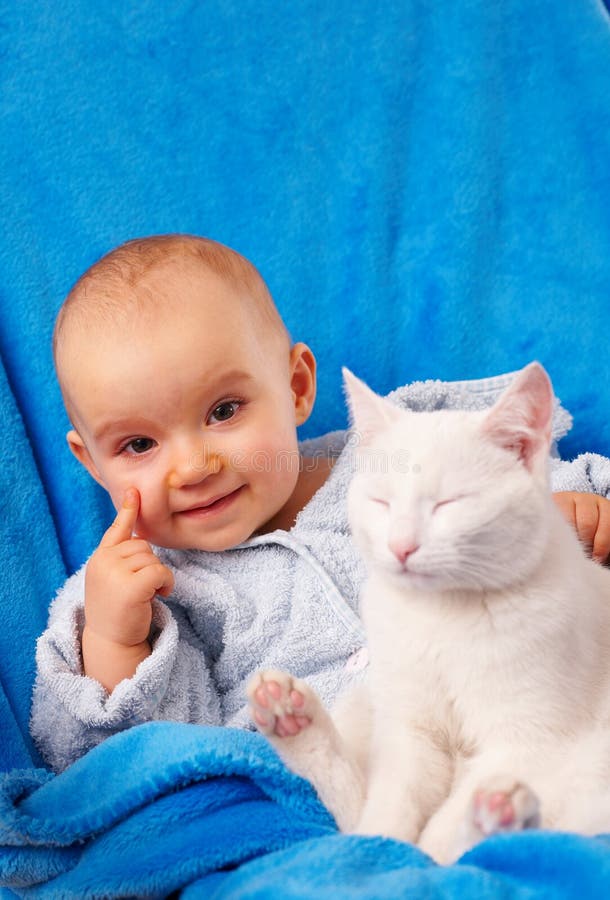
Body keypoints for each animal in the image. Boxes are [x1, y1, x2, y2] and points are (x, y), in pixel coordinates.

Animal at [246, 366, 608, 864]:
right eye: (382, 503)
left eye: (449, 504)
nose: (401, 545)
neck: (443, 617)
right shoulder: (410, 733)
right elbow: (390, 805)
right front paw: (378, 853)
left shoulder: (526, 740)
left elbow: (438, 841)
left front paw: (421, 859)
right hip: (369, 700)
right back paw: (289, 715)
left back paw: (498, 814)